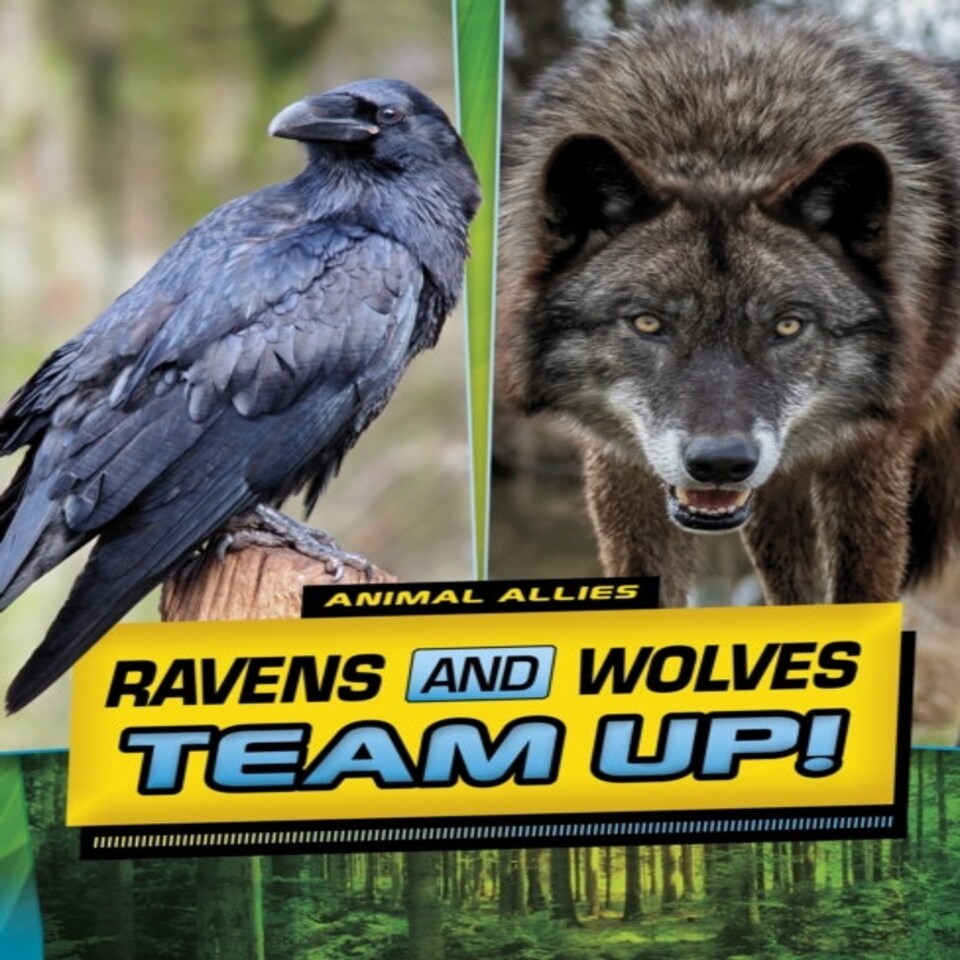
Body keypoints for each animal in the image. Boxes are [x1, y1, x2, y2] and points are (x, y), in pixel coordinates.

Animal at [497, 10, 960, 607]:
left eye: (788, 325)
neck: (724, 137)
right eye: (648, 322)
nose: (721, 463)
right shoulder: (620, 463)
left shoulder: (870, 449)